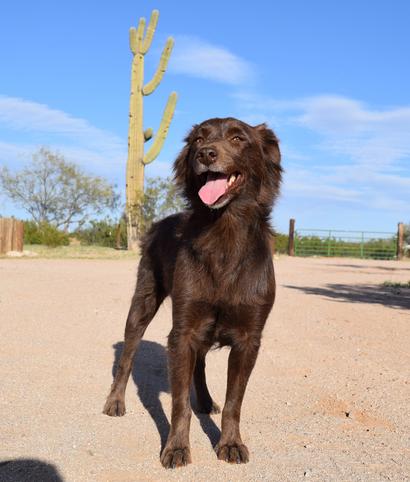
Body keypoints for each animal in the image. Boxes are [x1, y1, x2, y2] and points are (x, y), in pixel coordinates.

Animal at [103, 116, 282, 466]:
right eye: (199, 138)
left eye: (239, 138)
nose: (206, 154)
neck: (223, 231)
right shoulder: (183, 331)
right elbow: (178, 403)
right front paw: (176, 447)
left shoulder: (248, 339)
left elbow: (234, 403)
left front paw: (230, 443)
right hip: (142, 303)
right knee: (128, 357)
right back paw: (116, 401)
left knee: (199, 364)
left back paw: (206, 400)